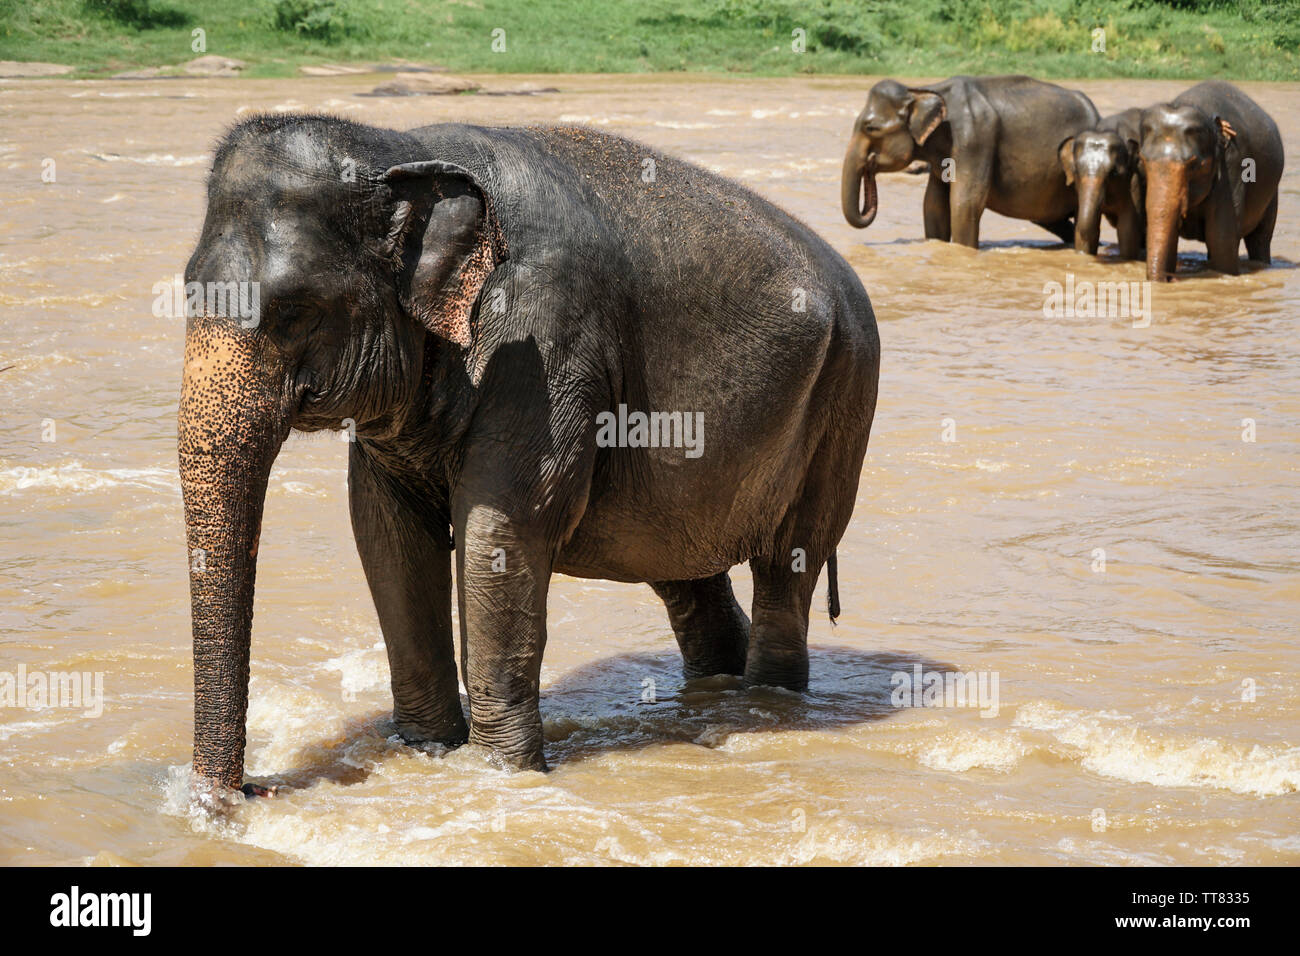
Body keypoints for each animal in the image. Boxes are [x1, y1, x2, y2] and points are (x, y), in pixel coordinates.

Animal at [178, 114, 881, 796]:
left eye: (295, 311)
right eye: (186, 293)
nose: (248, 793)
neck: (399, 146)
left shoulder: (546, 344)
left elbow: (503, 528)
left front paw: (497, 776)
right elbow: (387, 533)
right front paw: (428, 753)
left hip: (844, 398)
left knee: (787, 569)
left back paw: (768, 707)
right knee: (684, 573)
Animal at [841, 75, 1100, 247]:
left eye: (870, 127)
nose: (870, 162)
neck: (921, 90)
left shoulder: (974, 139)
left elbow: (964, 203)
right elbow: (933, 204)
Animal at [1136, 81, 1283, 281]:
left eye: (1193, 165)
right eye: (1143, 161)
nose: (1170, 279)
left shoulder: (1232, 166)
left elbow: (1221, 240)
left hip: (1271, 195)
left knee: (1260, 240)